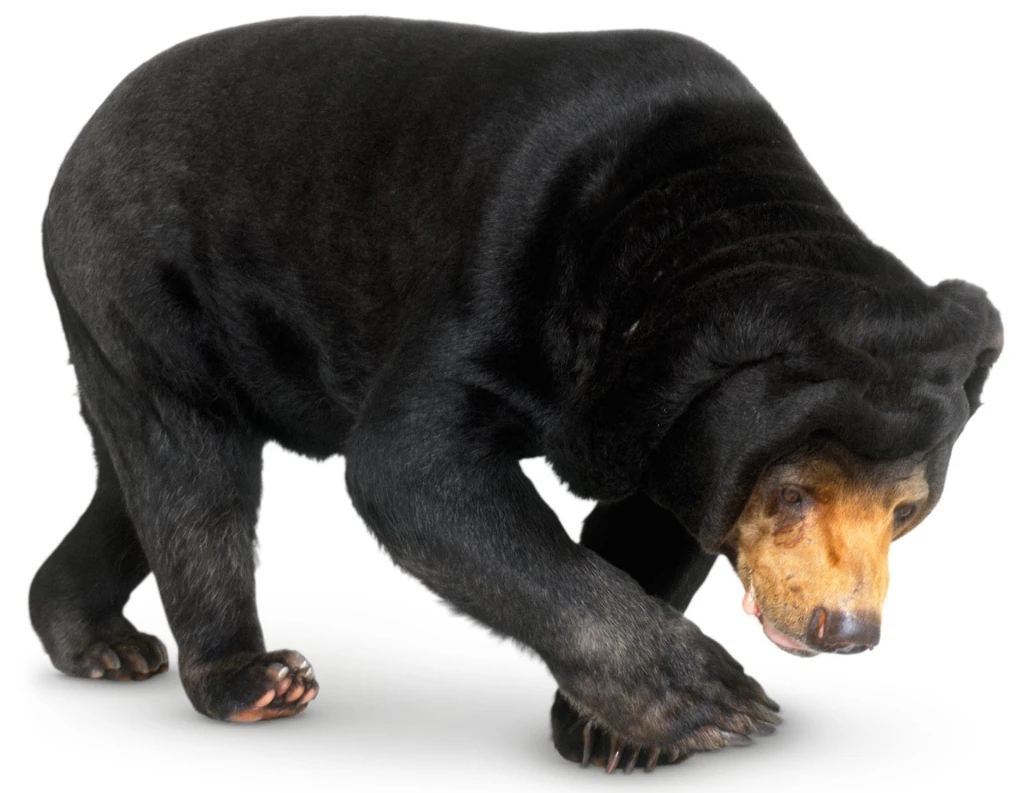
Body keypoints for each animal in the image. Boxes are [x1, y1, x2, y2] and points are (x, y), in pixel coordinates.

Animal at [29, 17, 1002, 772]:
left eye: (907, 510)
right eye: (792, 493)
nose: (848, 631)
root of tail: (82, 135)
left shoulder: (665, 419)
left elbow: (651, 525)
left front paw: (613, 735)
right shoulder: (505, 265)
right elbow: (410, 466)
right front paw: (713, 700)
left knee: (131, 484)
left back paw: (98, 641)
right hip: (138, 286)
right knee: (193, 481)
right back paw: (253, 680)